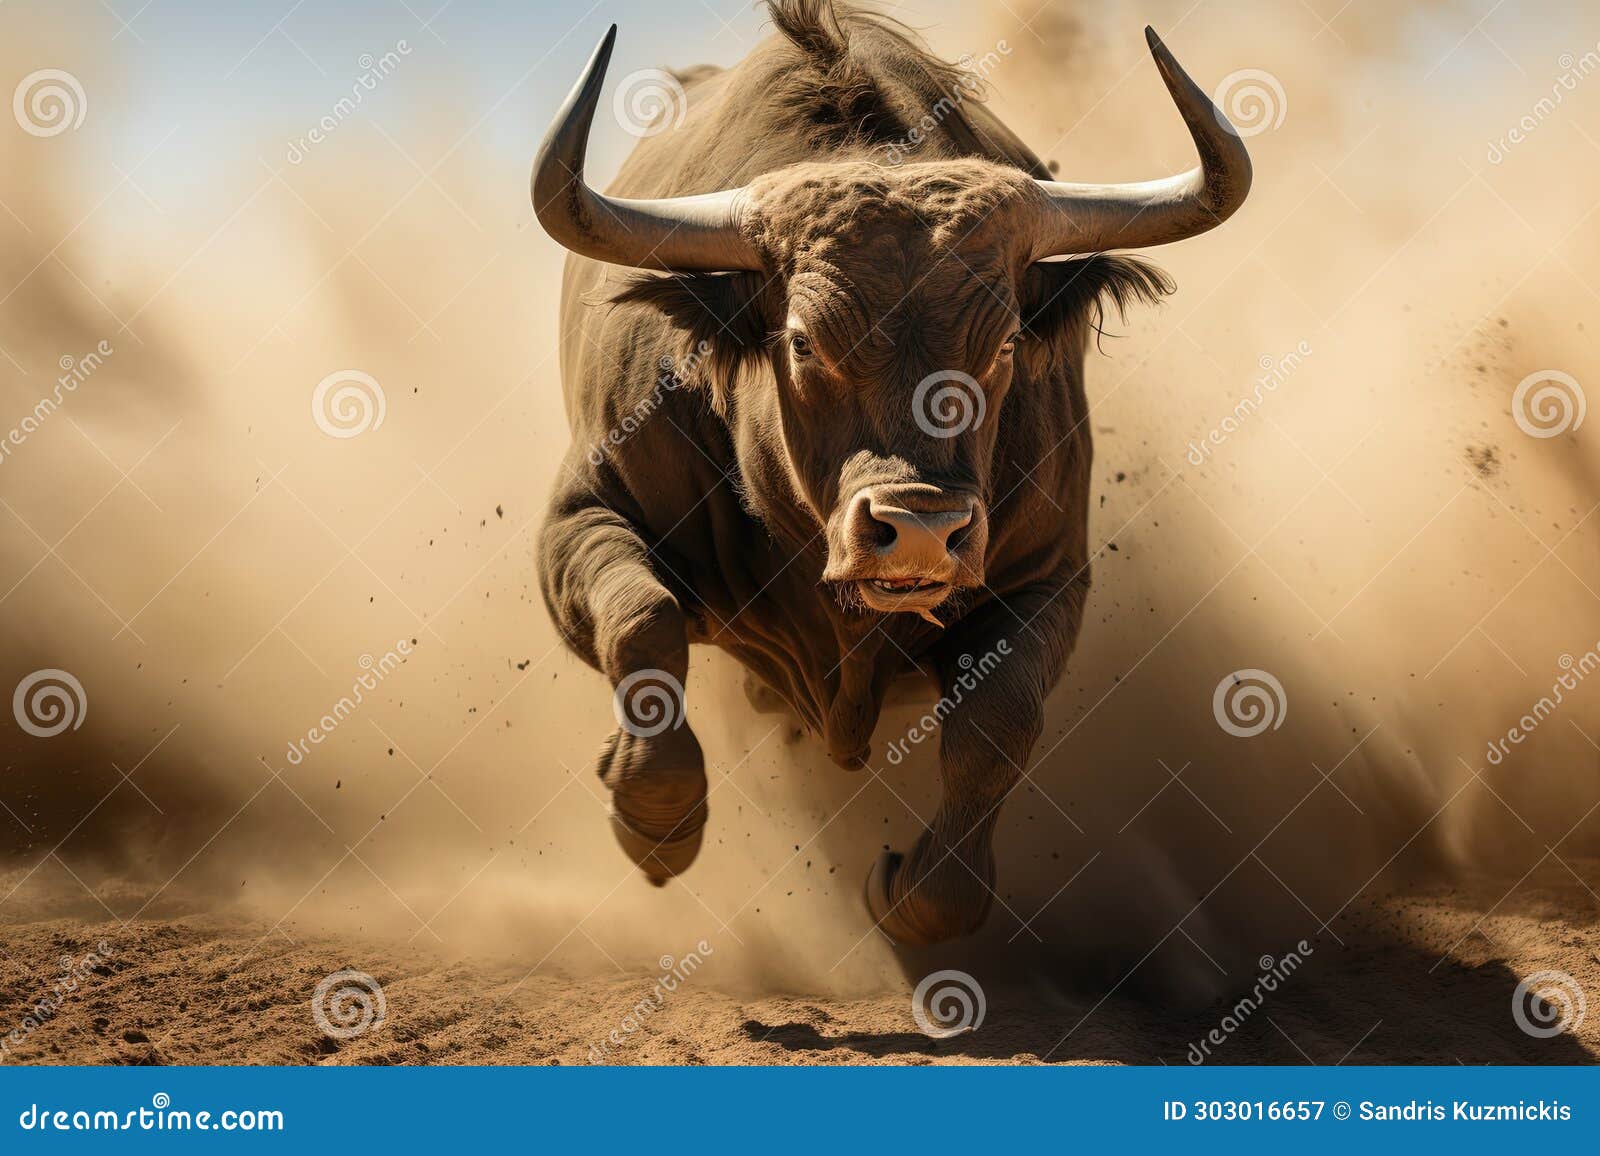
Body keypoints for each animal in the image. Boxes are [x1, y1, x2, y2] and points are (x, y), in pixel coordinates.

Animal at [531, 0, 1250, 945]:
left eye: (1006, 343)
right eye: (803, 342)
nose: (918, 532)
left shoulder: (1049, 577)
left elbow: (998, 721)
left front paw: (907, 886)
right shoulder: (582, 517)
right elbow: (645, 620)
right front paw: (653, 821)